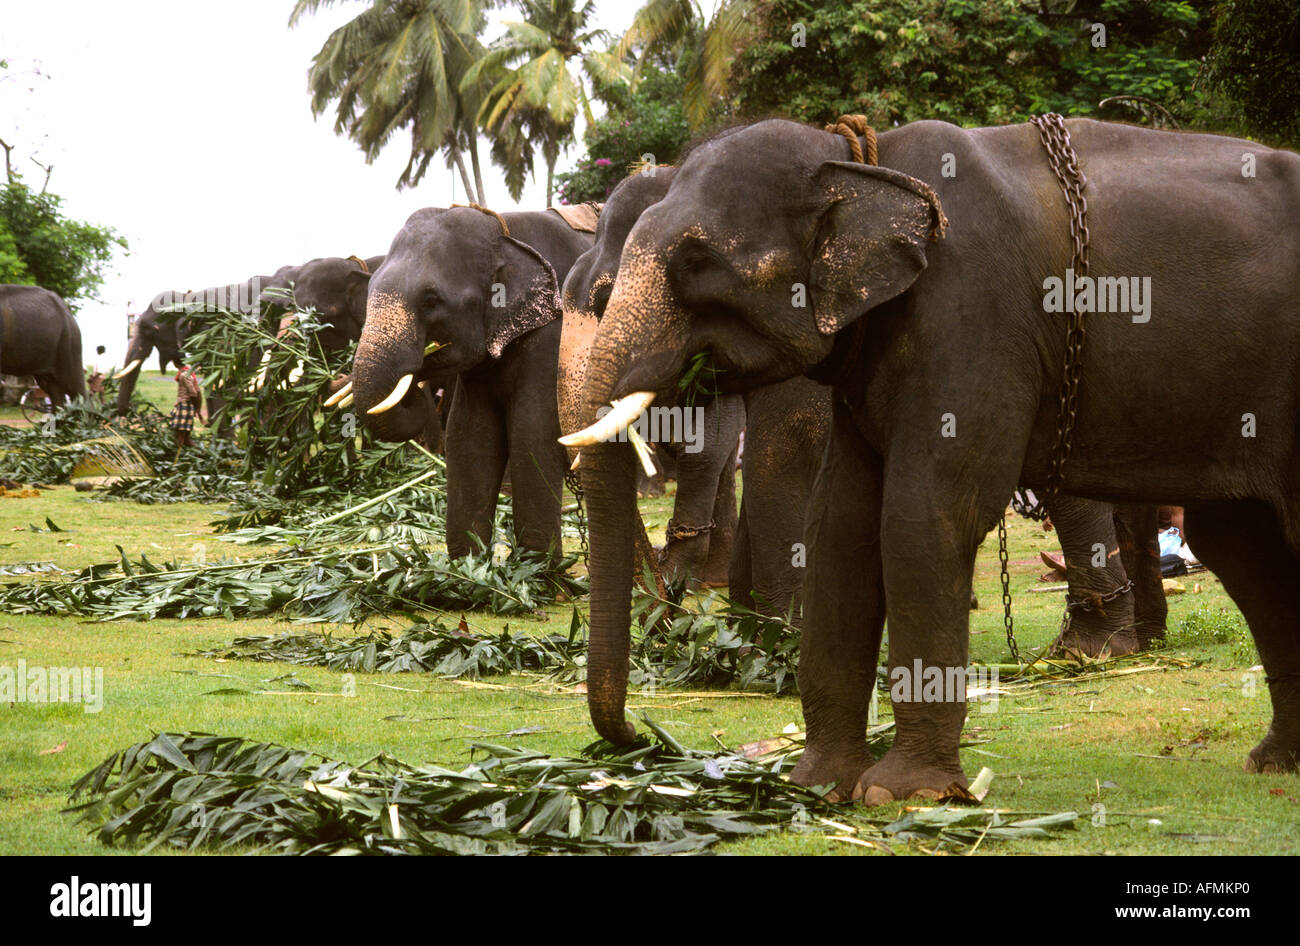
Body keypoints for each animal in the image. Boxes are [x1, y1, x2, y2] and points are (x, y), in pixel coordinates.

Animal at [353, 206, 592, 561]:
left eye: (430, 301)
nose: (417, 386)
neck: (503, 233)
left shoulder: (553, 332)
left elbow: (532, 433)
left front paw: (536, 571)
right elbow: (469, 436)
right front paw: (468, 569)